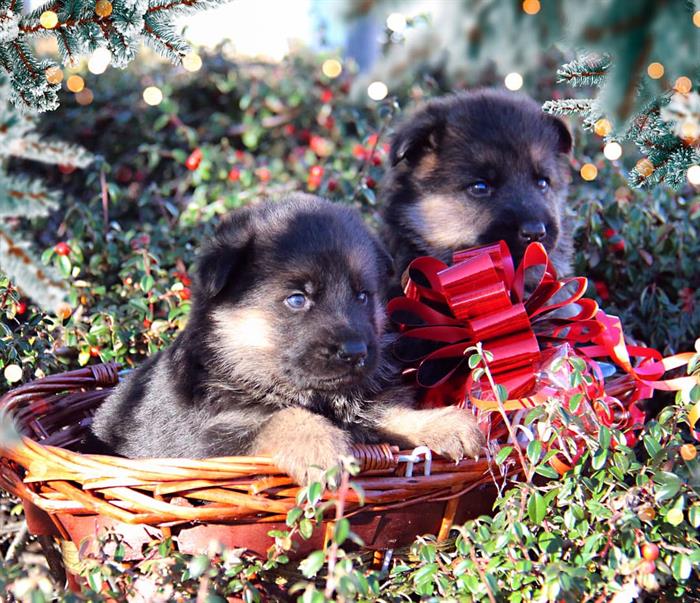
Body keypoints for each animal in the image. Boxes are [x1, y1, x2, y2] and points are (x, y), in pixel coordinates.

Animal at [90, 196, 484, 484]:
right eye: (297, 299)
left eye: (362, 296)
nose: (355, 352)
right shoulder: (207, 441)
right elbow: (280, 417)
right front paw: (321, 445)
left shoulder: (365, 409)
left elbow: (392, 412)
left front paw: (444, 423)